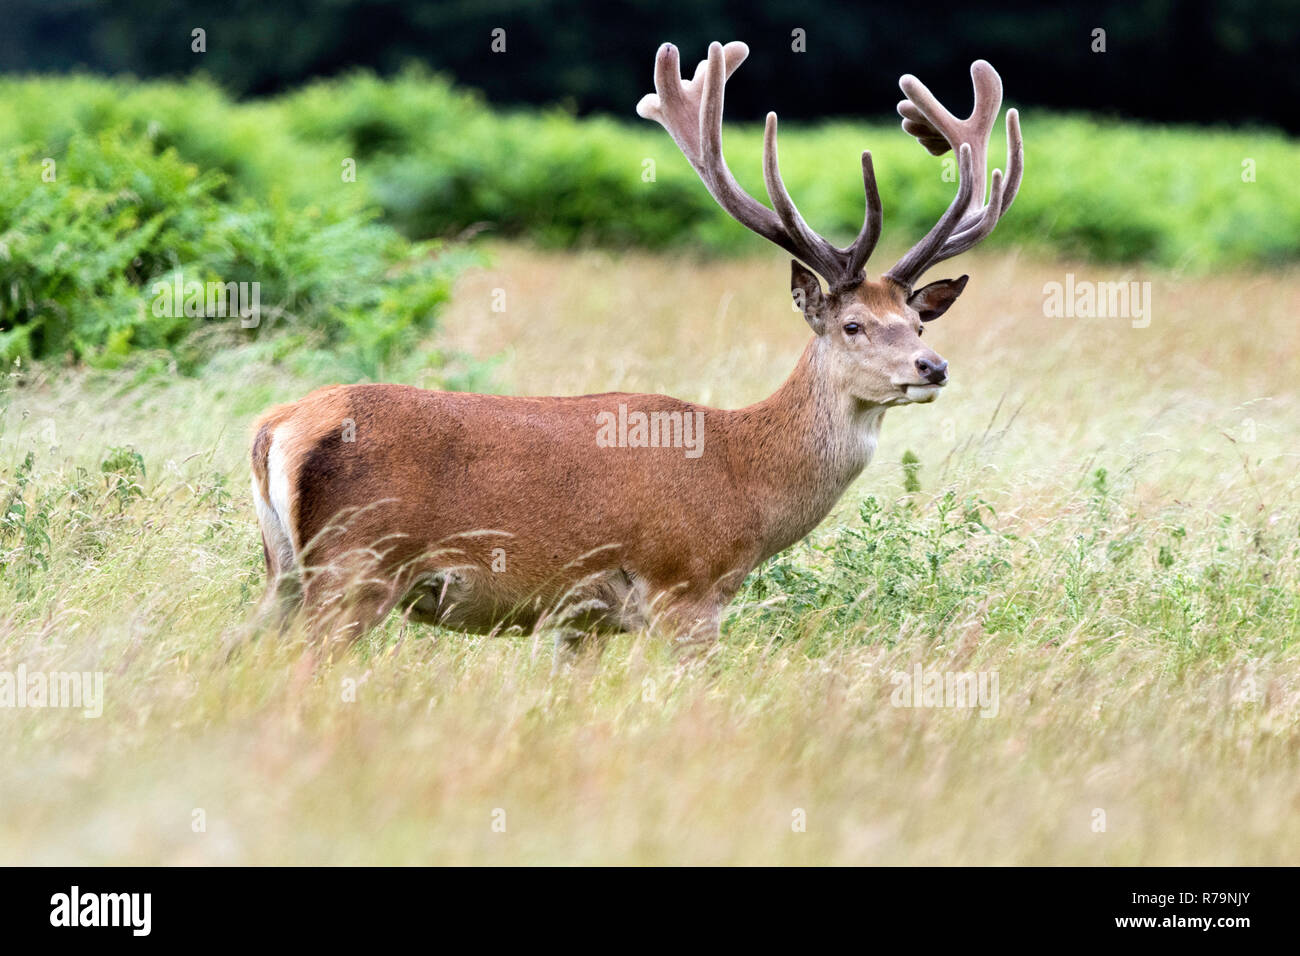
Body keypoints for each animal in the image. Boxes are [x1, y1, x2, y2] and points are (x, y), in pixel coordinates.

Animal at [248, 40, 1023, 656]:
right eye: (853, 325)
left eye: (919, 324)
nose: (932, 368)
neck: (745, 484)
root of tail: (278, 427)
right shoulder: (684, 587)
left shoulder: (582, 621)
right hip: (355, 565)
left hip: (282, 571)